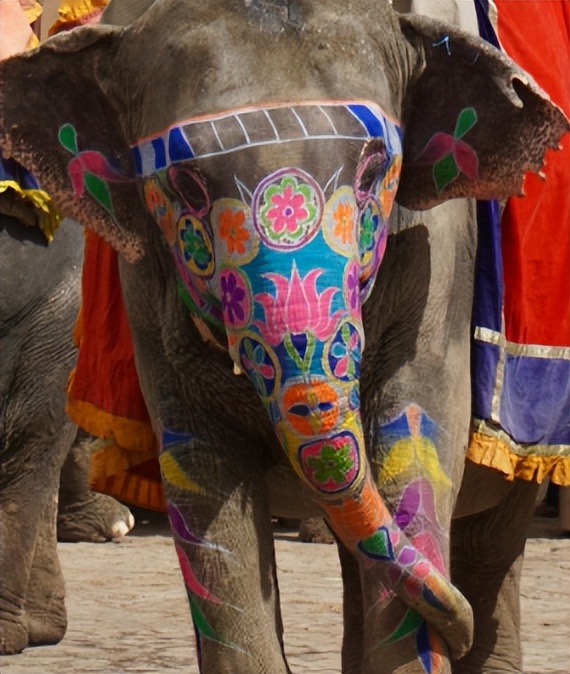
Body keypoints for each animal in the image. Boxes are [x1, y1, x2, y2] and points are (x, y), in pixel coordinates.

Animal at [0, 0, 567, 672]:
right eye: (186, 185)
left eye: (374, 169)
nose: (451, 628)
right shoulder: (144, 278)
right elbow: (202, 474)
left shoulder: (444, 254)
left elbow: (415, 428)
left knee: (493, 532)